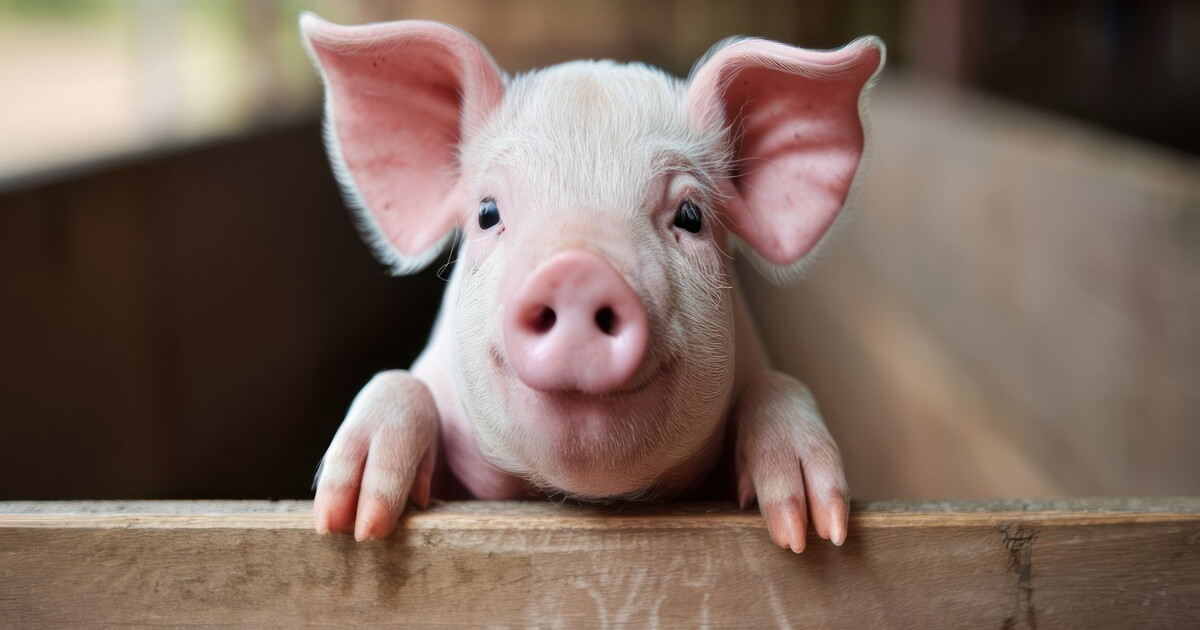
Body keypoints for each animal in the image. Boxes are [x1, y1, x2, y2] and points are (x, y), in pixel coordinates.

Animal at [300, 13, 884, 553]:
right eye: (488, 213)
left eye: (691, 216)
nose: (578, 269)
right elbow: (399, 382)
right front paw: (347, 521)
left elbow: (778, 385)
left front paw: (814, 529)